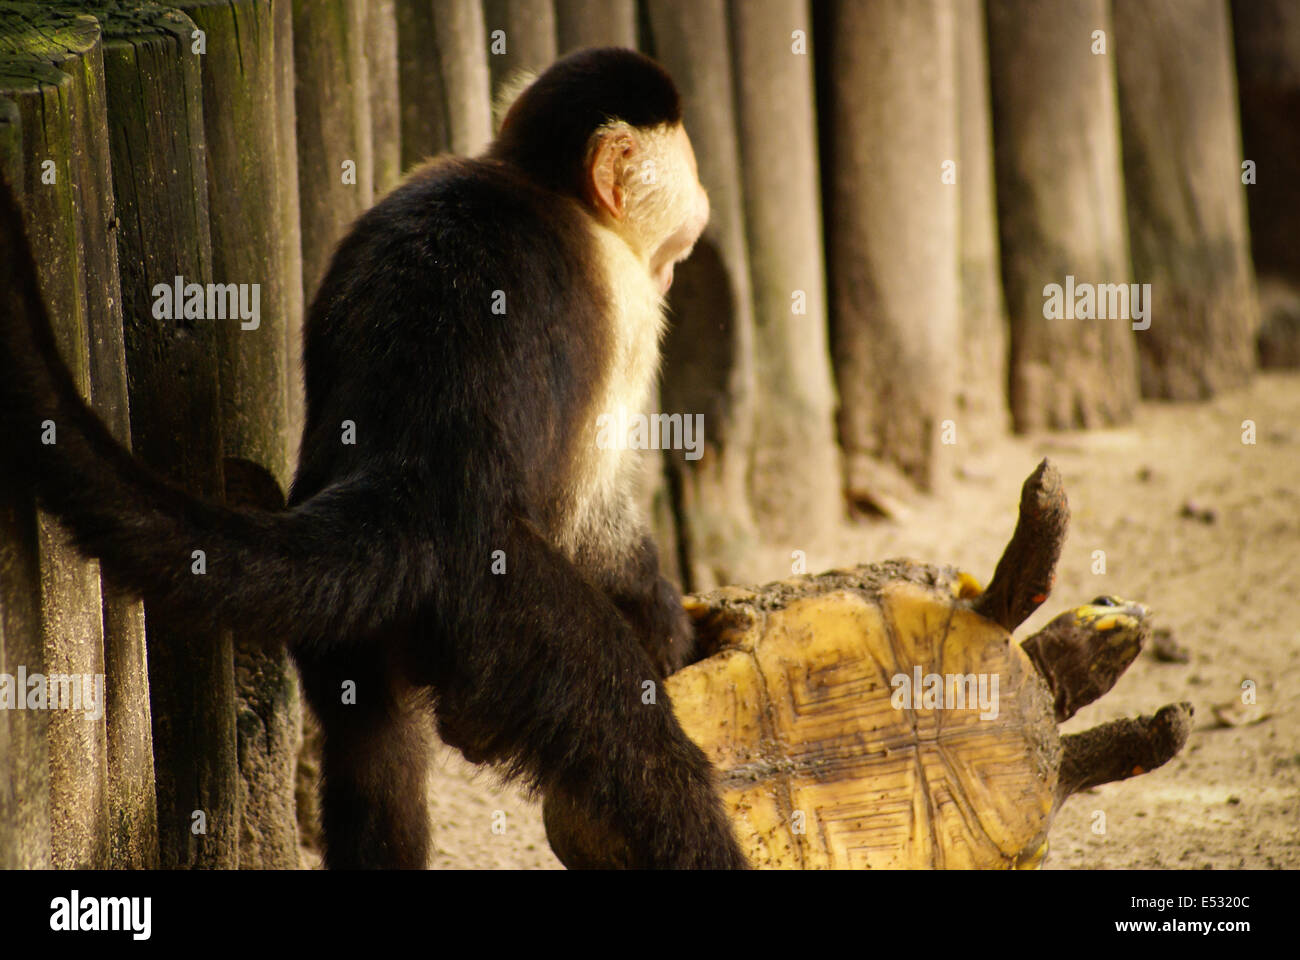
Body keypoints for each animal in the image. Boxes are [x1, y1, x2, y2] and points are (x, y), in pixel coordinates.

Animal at [0, 47, 748, 869]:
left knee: (374, 757)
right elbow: (594, 522)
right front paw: (665, 622)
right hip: (506, 606)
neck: (538, 182)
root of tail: (405, 491)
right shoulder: (628, 302)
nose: (676, 265)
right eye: (682, 240)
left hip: (354, 626)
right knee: (639, 752)